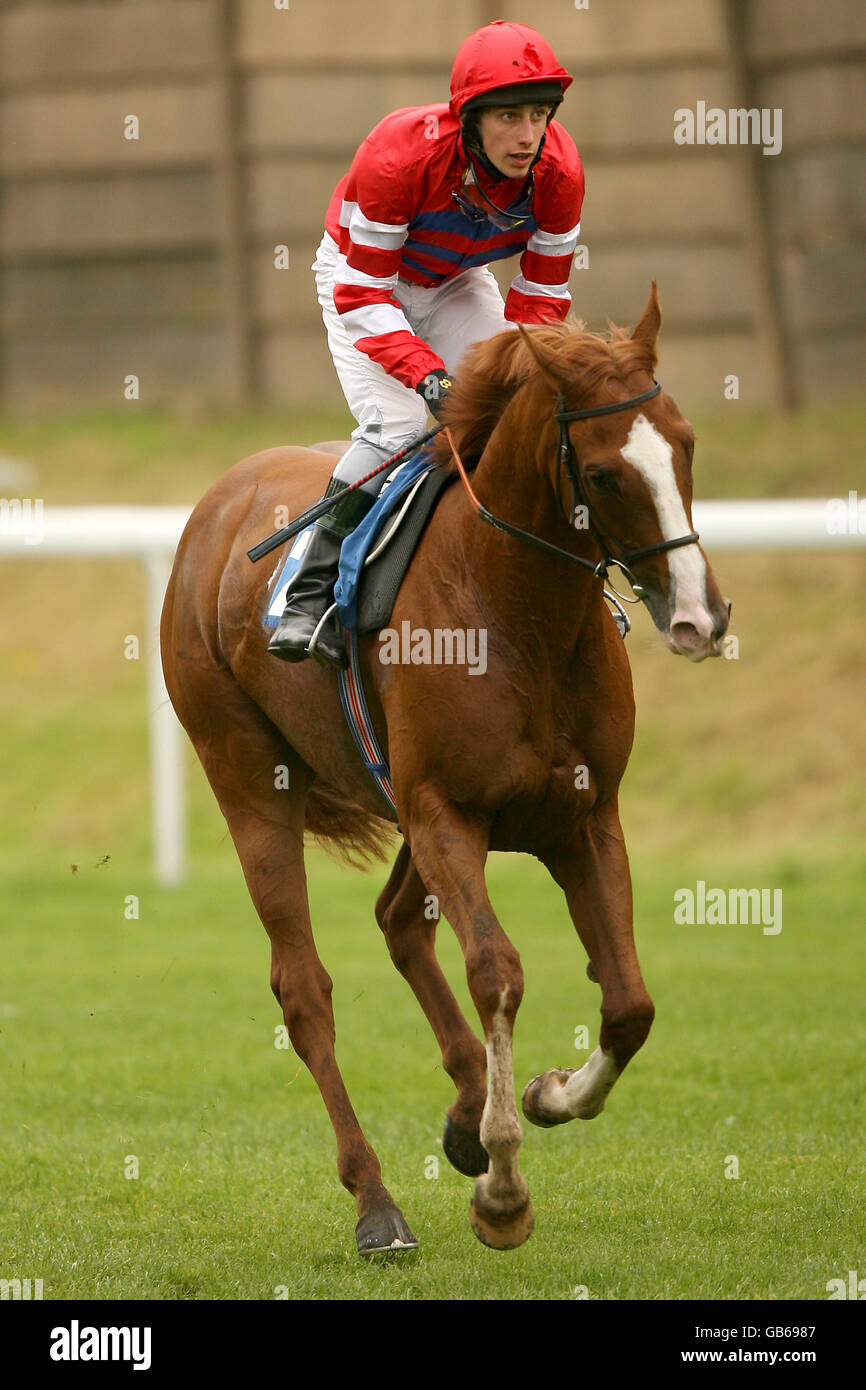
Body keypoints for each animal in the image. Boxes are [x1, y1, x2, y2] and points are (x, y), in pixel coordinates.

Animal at [160, 284, 730, 1255]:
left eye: (685, 442)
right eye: (606, 474)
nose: (701, 616)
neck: (518, 613)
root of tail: (218, 501)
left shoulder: (581, 817)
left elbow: (628, 1003)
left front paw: (541, 1096)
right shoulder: (447, 813)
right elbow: (498, 972)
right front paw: (503, 1192)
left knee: (397, 922)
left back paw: (464, 1111)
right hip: (248, 779)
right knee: (303, 991)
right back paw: (377, 1205)